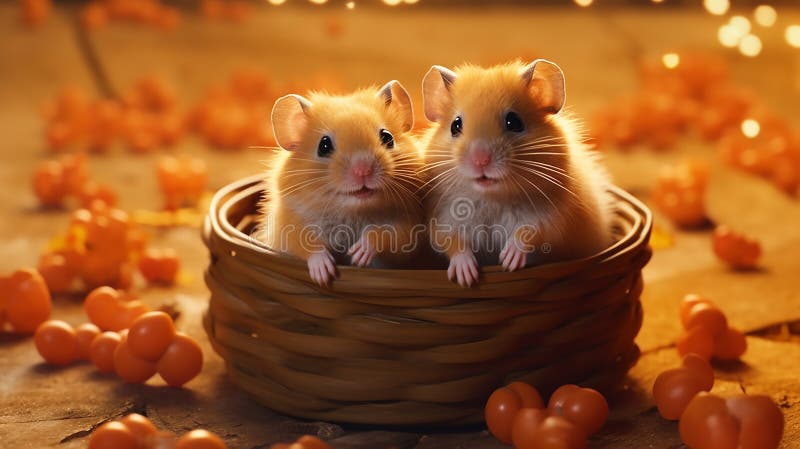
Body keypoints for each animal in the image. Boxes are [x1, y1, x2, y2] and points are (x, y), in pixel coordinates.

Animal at [257, 81, 424, 286]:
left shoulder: (408, 226)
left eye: (387, 137)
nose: (363, 170)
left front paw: (357, 256)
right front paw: (324, 274)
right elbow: (308, 245)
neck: (352, 212)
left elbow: (385, 234)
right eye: (324, 146)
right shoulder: (291, 224)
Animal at [420, 59, 613, 287]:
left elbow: (526, 233)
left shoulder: (549, 216)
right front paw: (466, 277)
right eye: (455, 125)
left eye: (514, 122)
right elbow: (454, 244)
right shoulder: (443, 220)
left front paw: (508, 262)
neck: (492, 198)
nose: (480, 160)